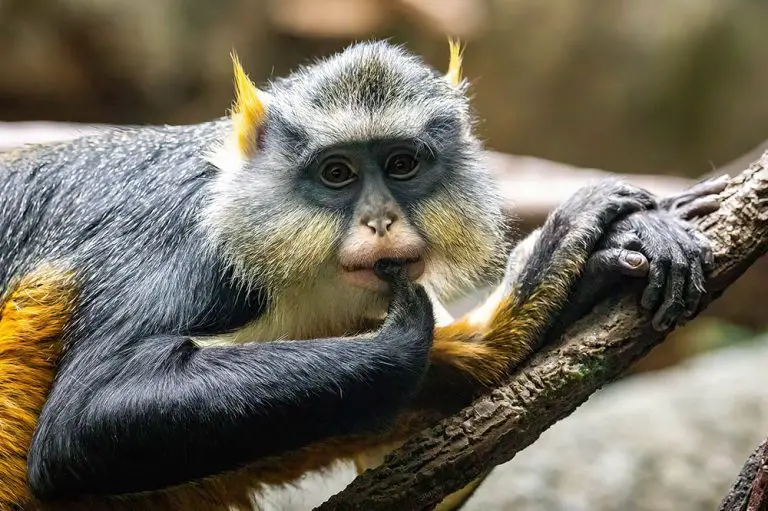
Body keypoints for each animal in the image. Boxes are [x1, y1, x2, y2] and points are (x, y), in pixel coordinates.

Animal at [0, 40, 719, 511]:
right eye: (338, 173)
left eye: (401, 164)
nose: (378, 219)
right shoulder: (184, 253)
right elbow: (85, 418)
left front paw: (586, 266)